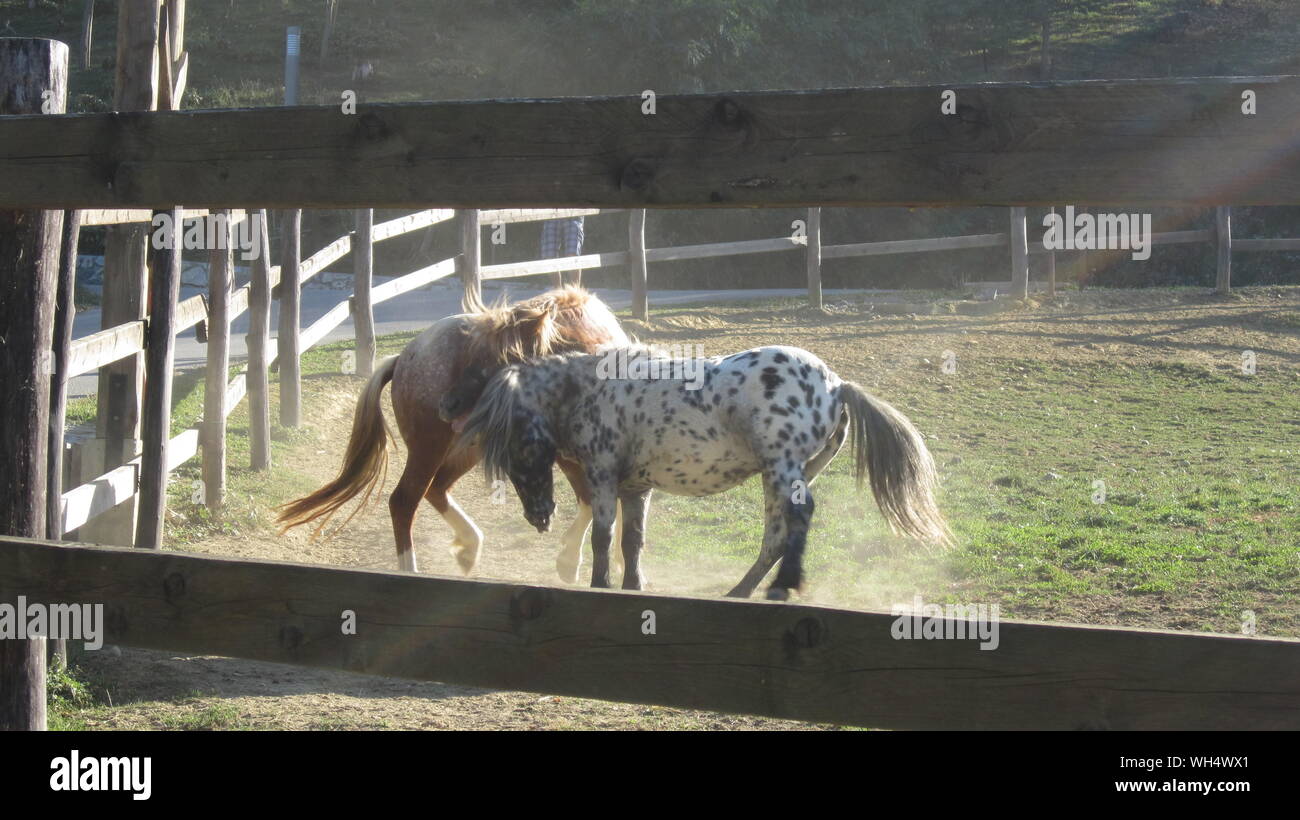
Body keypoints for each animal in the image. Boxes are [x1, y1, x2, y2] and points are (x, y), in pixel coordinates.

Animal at [276, 286, 630, 581]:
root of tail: (403, 358)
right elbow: (590, 503)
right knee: (404, 501)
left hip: (465, 450)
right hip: (428, 450)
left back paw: (469, 547)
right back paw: (413, 568)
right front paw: (570, 562)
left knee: (436, 489)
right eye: (472, 354)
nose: (447, 404)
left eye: (498, 359)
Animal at [452, 344, 951, 600]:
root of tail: (835, 384)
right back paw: (741, 592)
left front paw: (601, 585)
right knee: (776, 535)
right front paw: (632, 587)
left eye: (520, 448)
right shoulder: (636, 488)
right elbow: (632, 541)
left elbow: (603, 538)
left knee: (799, 517)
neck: (591, 389)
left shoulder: (604, 478)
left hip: (783, 468)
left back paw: (782, 586)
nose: (539, 515)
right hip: (785, 473)